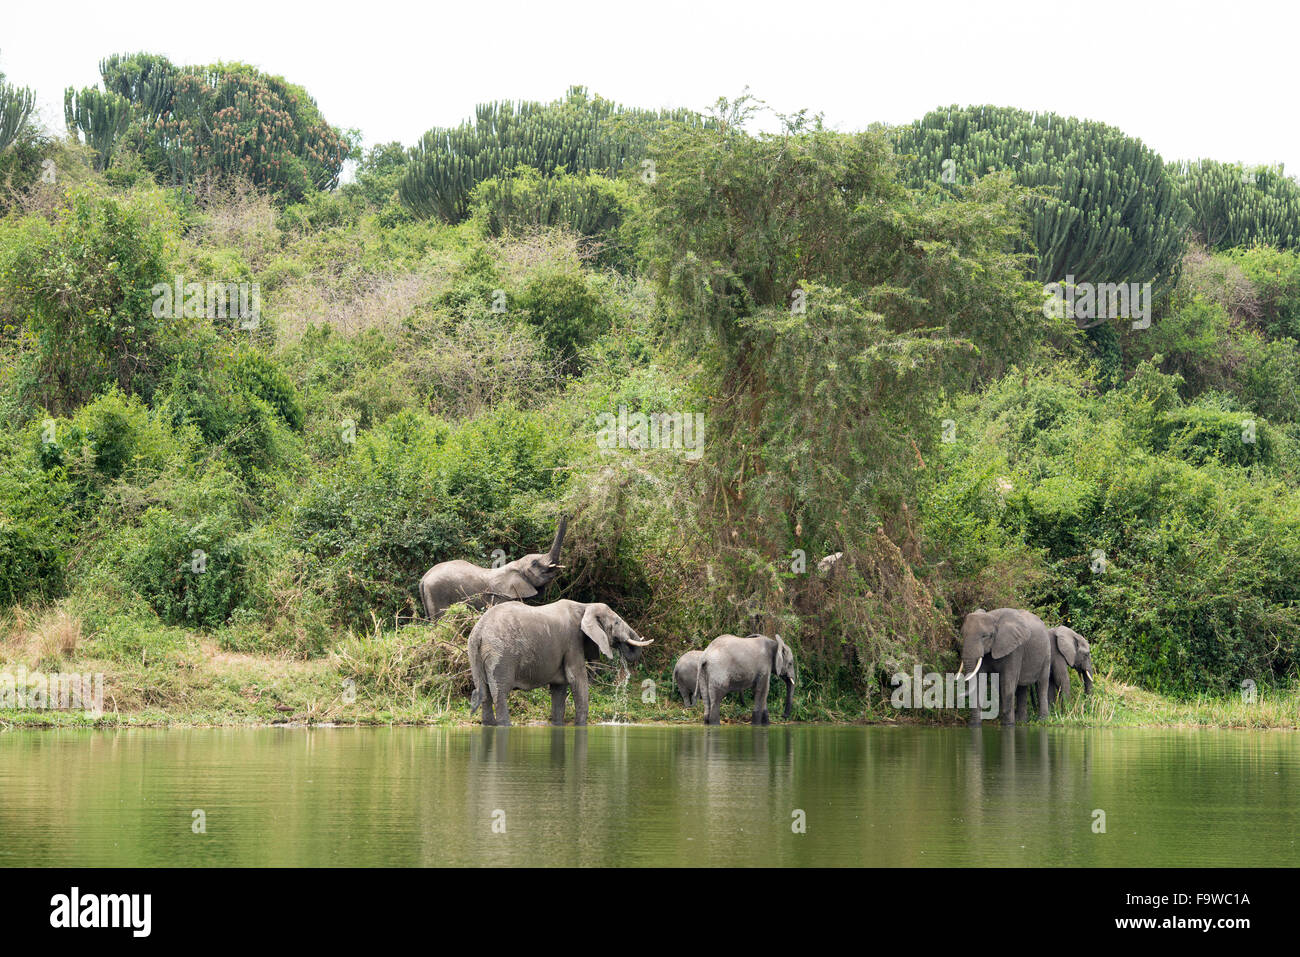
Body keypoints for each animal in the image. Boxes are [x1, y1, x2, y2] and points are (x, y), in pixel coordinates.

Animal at [418, 515, 566, 622]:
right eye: (535, 563)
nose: (565, 514)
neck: (515, 565)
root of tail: (424, 579)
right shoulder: (501, 597)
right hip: (436, 593)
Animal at [468, 599, 653, 726]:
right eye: (616, 622)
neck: (585, 606)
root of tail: (479, 631)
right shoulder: (572, 641)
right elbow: (577, 678)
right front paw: (580, 725)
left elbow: (559, 687)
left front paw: (557, 724)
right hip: (501, 653)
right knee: (500, 692)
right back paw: (505, 725)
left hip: (476, 654)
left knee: (484, 691)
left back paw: (489, 724)